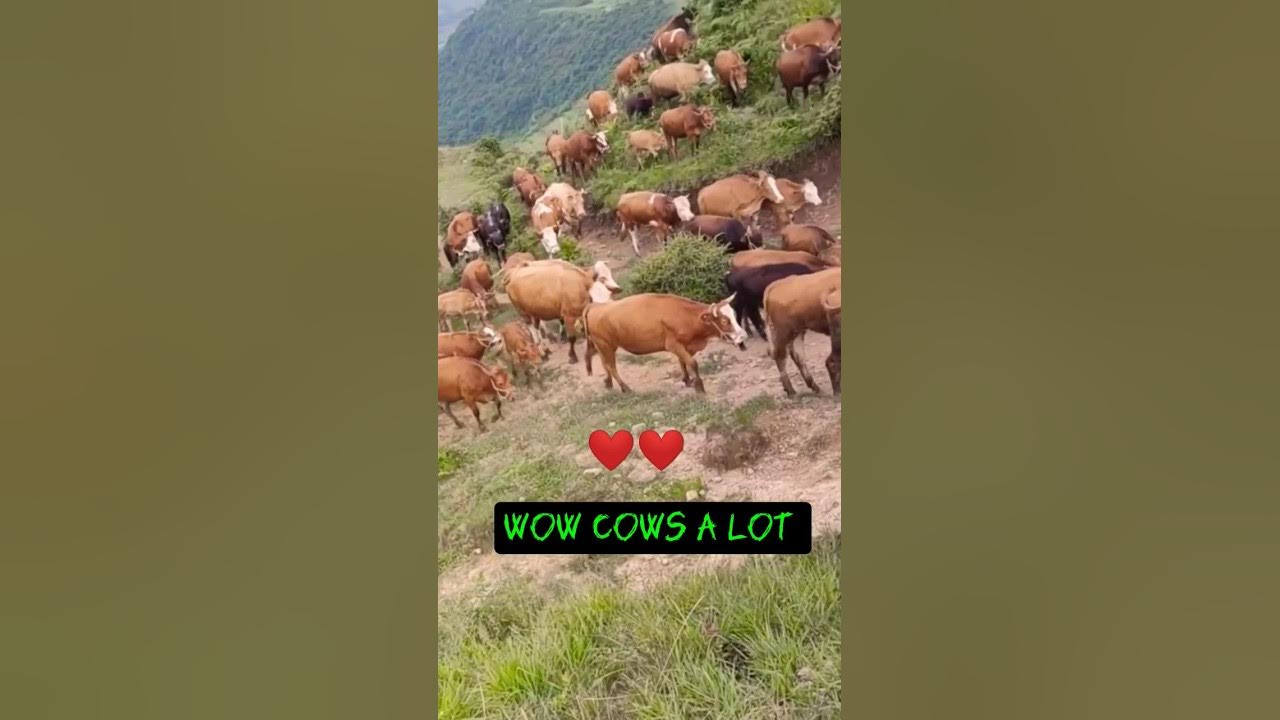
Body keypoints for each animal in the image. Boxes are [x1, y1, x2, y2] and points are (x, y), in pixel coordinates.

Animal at [582, 293, 748, 394]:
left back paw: (608, 382)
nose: (743, 336)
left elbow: (683, 362)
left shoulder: (685, 346)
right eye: (724, 320)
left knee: (604, 363)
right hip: (606, 345)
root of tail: (595, 306)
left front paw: (687, 380)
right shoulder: (674, 345)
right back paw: (625, 387)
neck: (685, 316)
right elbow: (692, 363)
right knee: (611, 365)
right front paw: (699, 386)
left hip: (602, 346)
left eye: (734, 315)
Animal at [763, 267, 841, 396]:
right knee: (780, 357)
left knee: (798, 356)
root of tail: (776, 284)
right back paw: (791, 391)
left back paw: (815, 388)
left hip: (798, 332)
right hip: (784, 333)